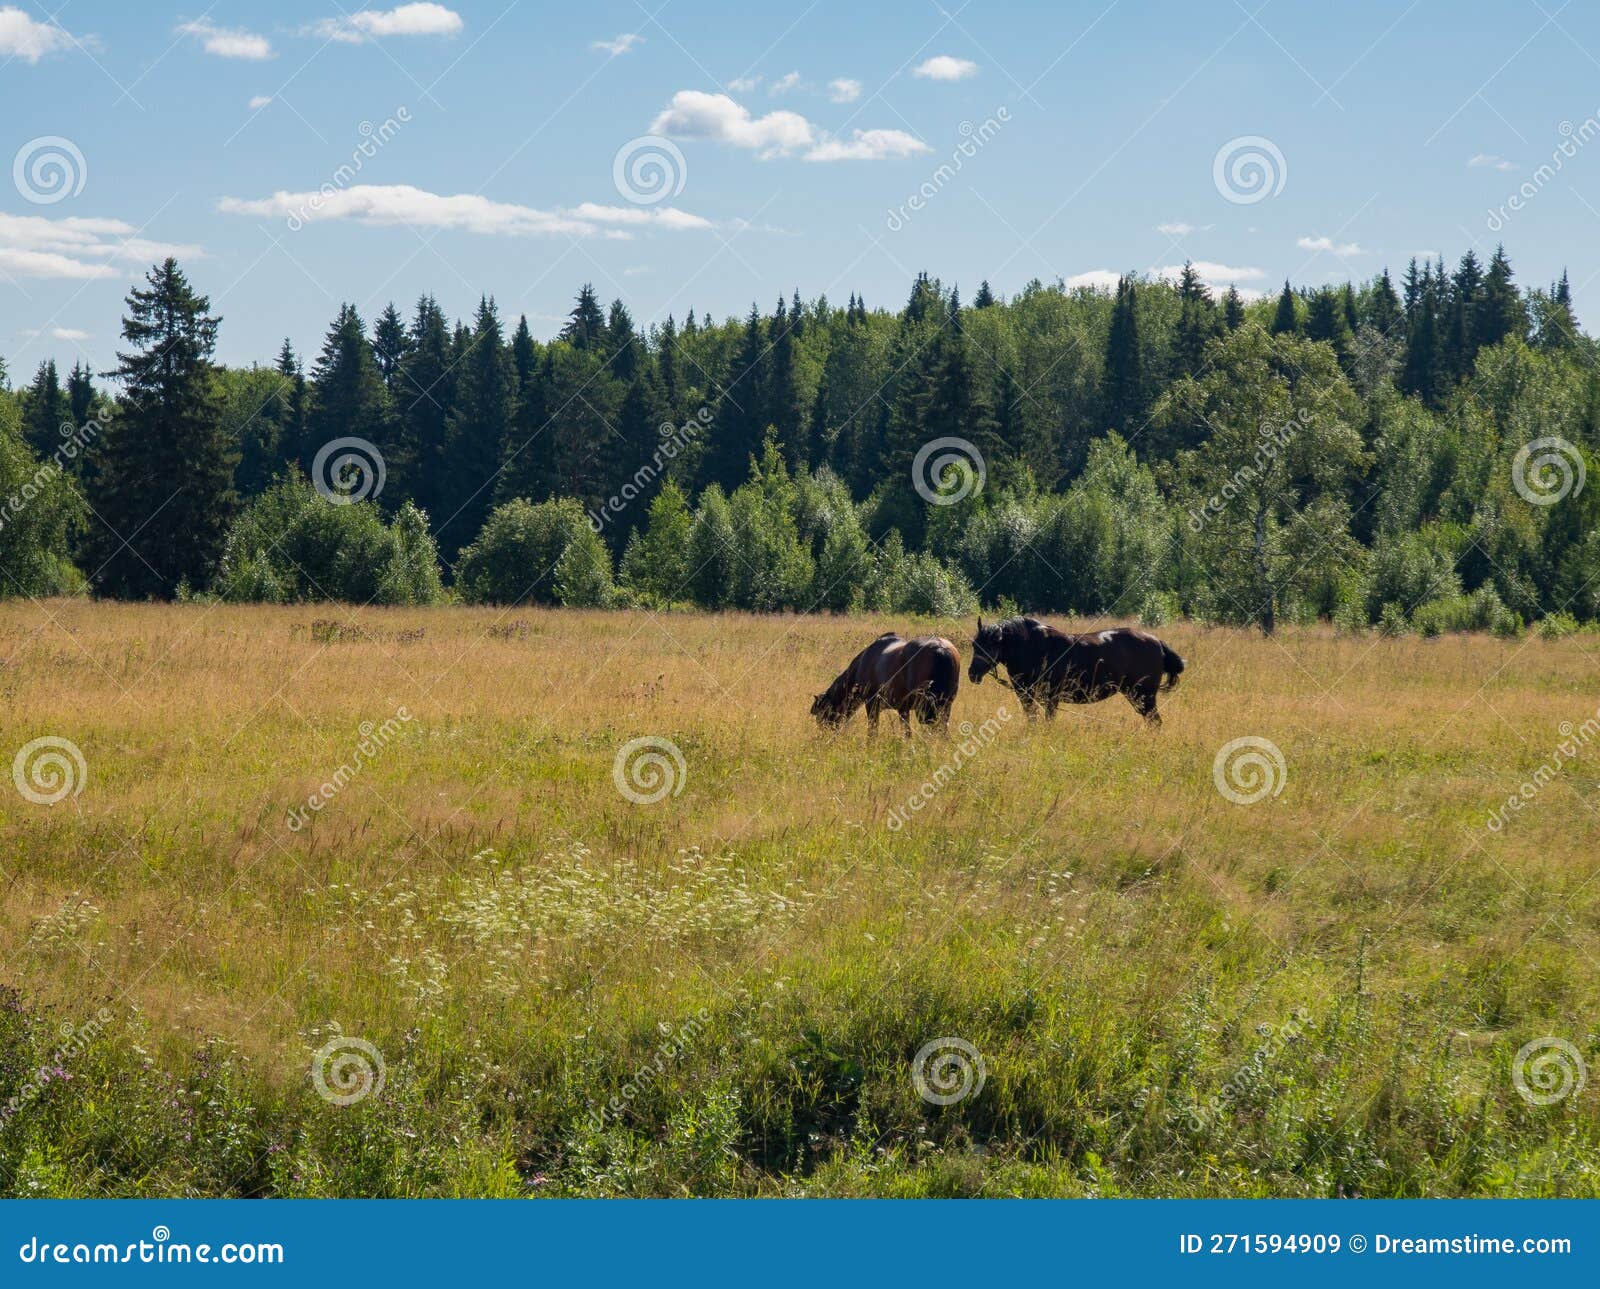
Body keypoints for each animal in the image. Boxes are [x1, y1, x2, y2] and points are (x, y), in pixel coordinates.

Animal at [811, 632, 961, 735]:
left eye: (822, 714)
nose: (823, 736)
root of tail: (941, 648)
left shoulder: (871, 705)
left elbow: (872, 732)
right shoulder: (903, 709)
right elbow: (907, 733)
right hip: (944, 707)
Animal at [968, 616, 1184, 725]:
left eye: (991, 645)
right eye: (974, 645)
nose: (972, 674)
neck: (1033, 648)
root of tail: (1158, 643)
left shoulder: (1051, 697)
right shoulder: (1026, 696)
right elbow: (1032, 720)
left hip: (1143, 696)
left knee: (1154, 722)